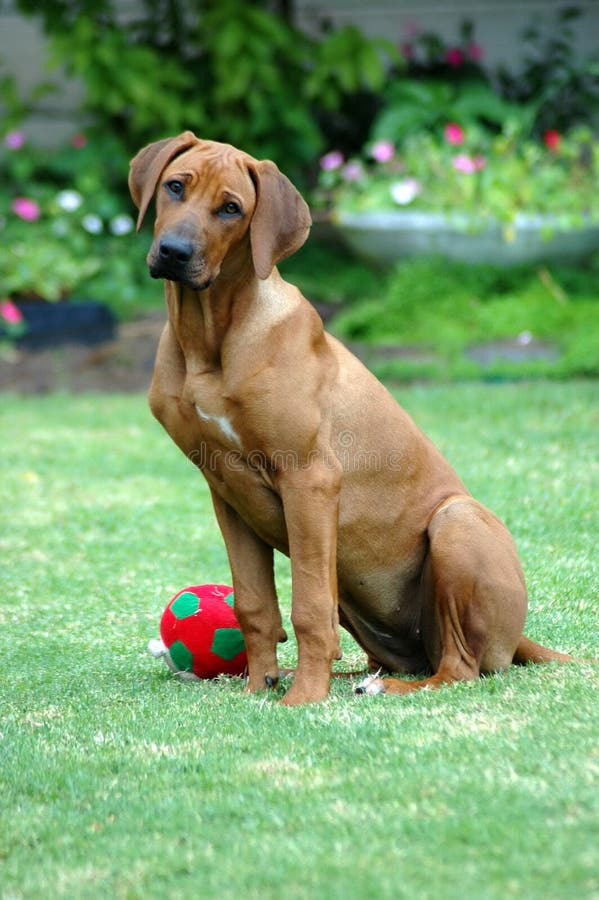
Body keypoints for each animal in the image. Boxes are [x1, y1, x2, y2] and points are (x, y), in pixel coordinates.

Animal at [129, 132, 576, 704]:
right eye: (174, 187)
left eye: (231, 209)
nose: (174, 253)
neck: (211, 338)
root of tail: (518, 637)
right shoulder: (224, 488)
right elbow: (253, 603)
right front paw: (257, 687)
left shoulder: (311, 480)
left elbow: (308, 606)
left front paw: (302, 700)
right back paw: (343, 677)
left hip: (455, 523)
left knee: (459, 669)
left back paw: (380, 688)